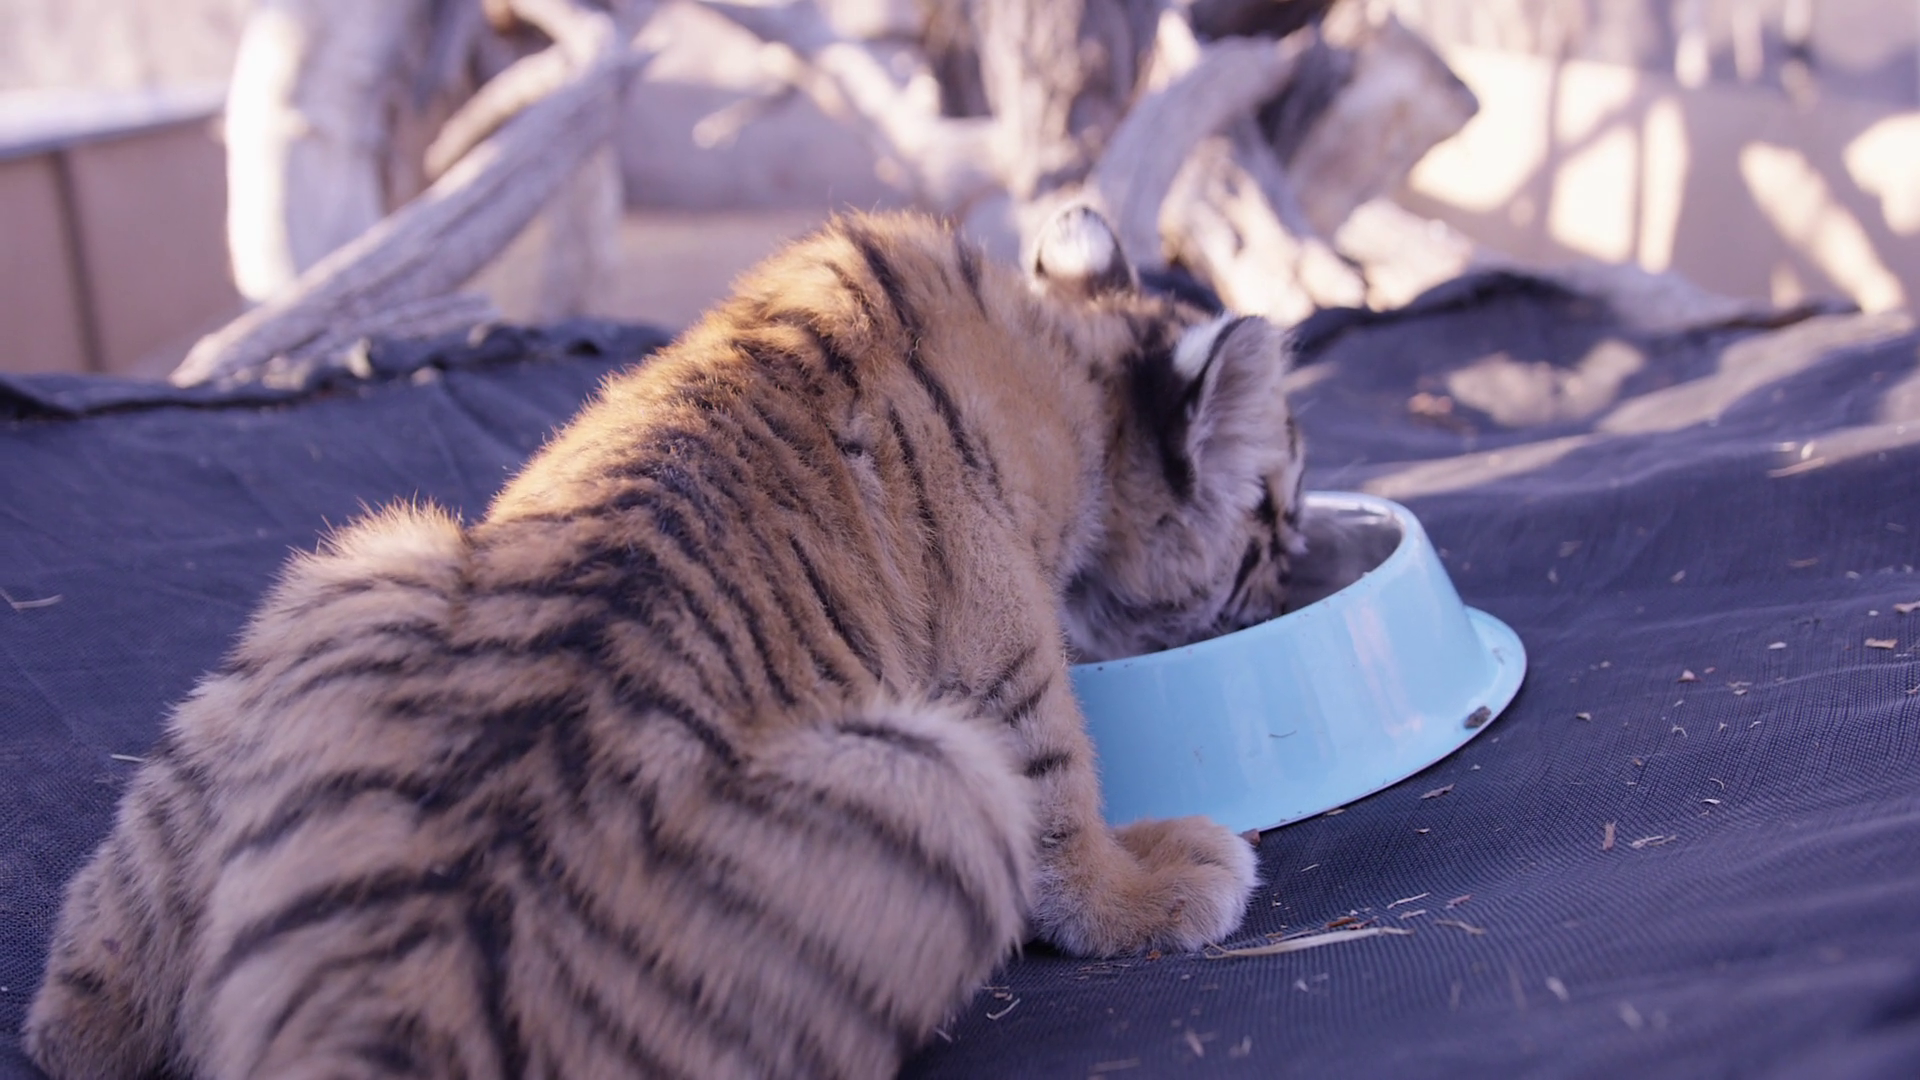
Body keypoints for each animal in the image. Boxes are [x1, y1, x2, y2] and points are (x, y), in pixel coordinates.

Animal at [24, 205, 1308, 1080]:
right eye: (1275, 518)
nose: (1293, 572)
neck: (1062, 352)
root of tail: (377, 1016)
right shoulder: (1001, 638)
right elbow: (1062, 791)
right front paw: (1159, 884)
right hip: (941, 779)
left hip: (360, 568)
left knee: (75, 1016)